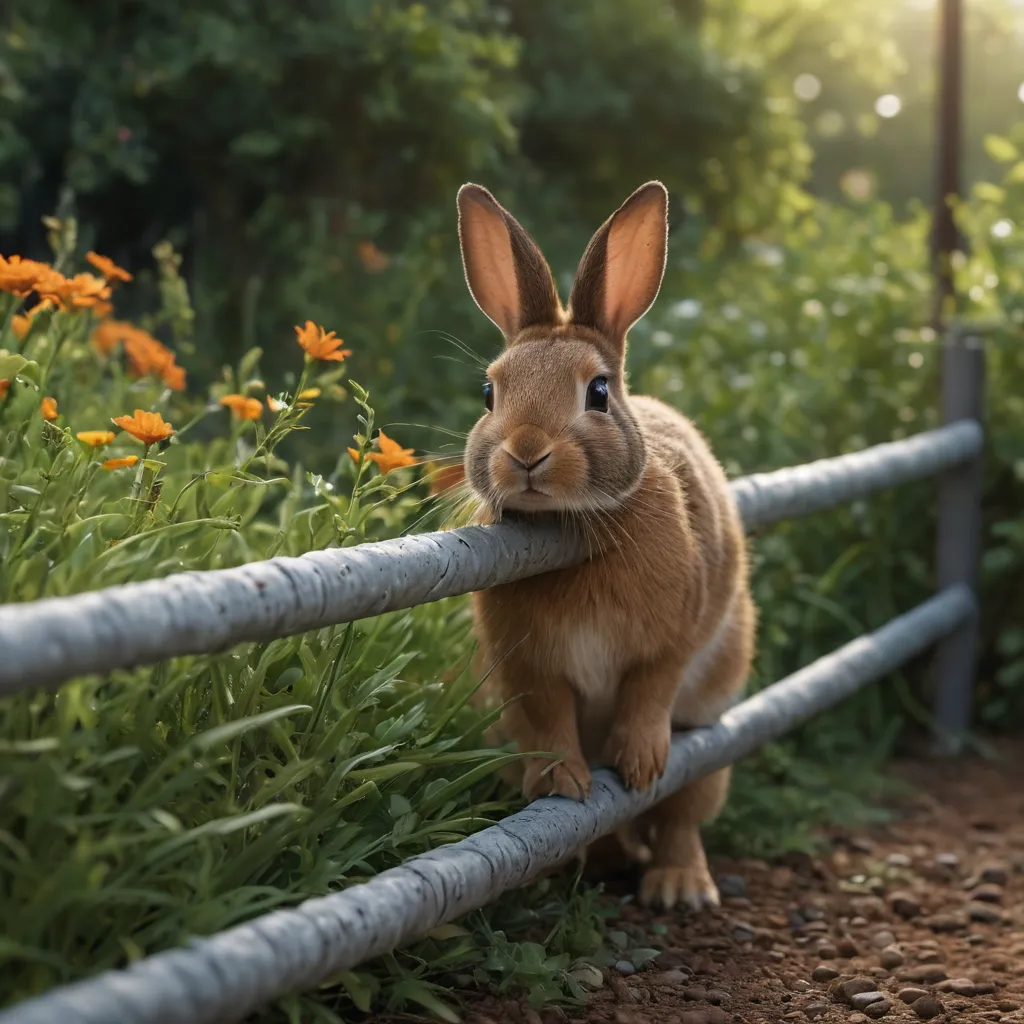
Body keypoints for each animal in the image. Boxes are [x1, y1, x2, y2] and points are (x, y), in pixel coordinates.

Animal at [456, 180, 756, 910]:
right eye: (489, 392)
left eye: (598, 391)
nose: (525, 452)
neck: (577, 524)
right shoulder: (530, 664)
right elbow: (550, 716)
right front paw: (562, 783)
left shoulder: (668, 640)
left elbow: (650, 689)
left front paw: (640, 762)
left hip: (709, 748)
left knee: (682, 817)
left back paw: (678, 887)